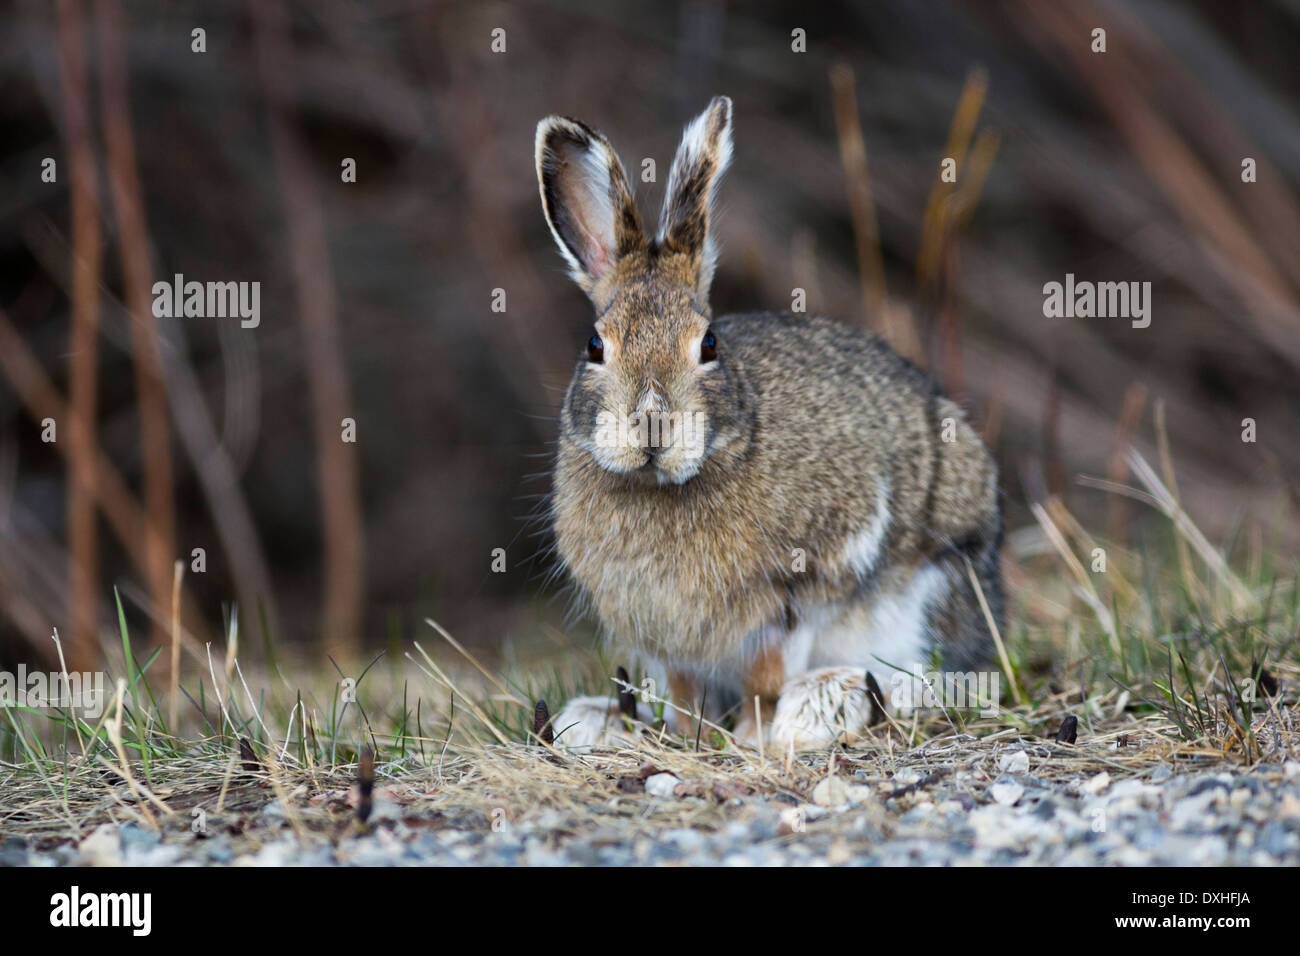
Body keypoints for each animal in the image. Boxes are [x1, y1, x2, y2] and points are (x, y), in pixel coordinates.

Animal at [535, 96, 1003, 751]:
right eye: (594, 345)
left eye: (708, 343)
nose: (652, 427)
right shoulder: (665, 638)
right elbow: (686, 692)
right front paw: (690, 737)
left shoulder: (800, 591)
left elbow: (766, 675)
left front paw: (755, 738)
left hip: (935, 589)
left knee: (939, 677)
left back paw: (828, 701)